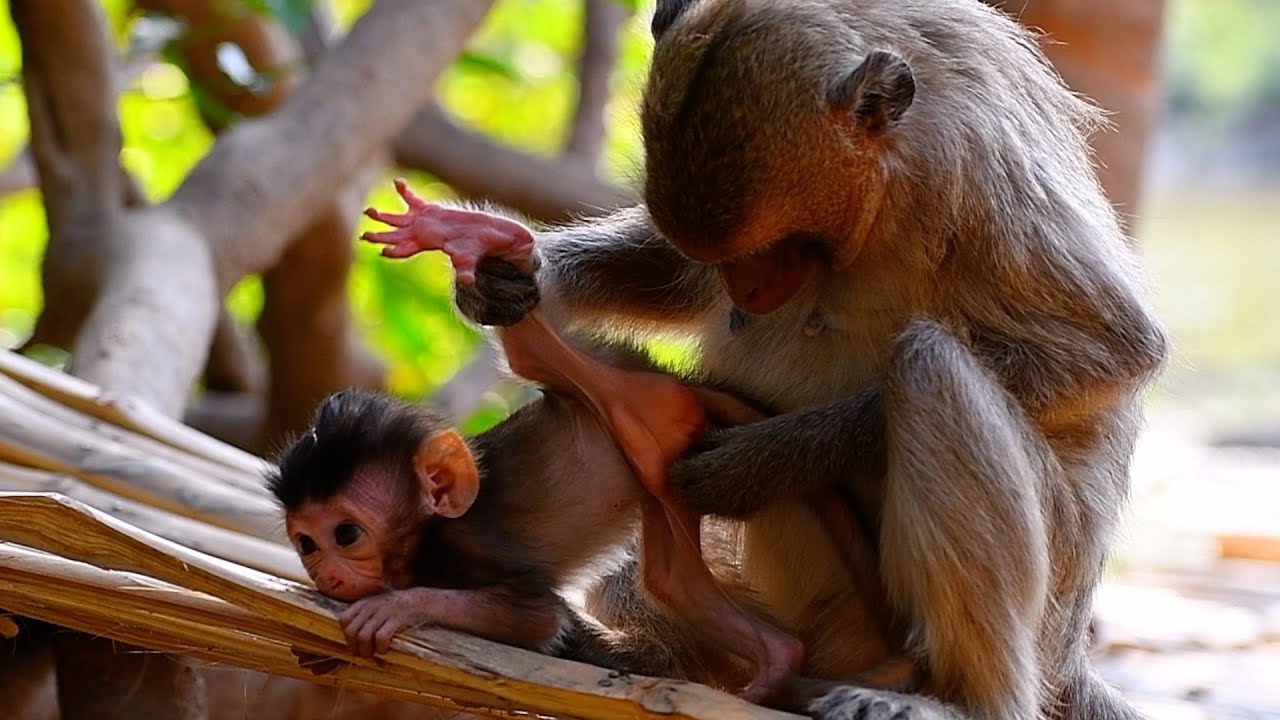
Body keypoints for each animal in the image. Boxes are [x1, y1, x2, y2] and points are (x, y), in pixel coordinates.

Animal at [358, 1, 1173, 718]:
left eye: (787, 244)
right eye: (733, 259)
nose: (747, 289)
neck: (889, 177)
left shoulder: (972, 168)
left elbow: (1112, 348)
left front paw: (760, 462)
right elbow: (669, 270)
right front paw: (504, 272)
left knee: (931, 366)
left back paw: (966, 702)